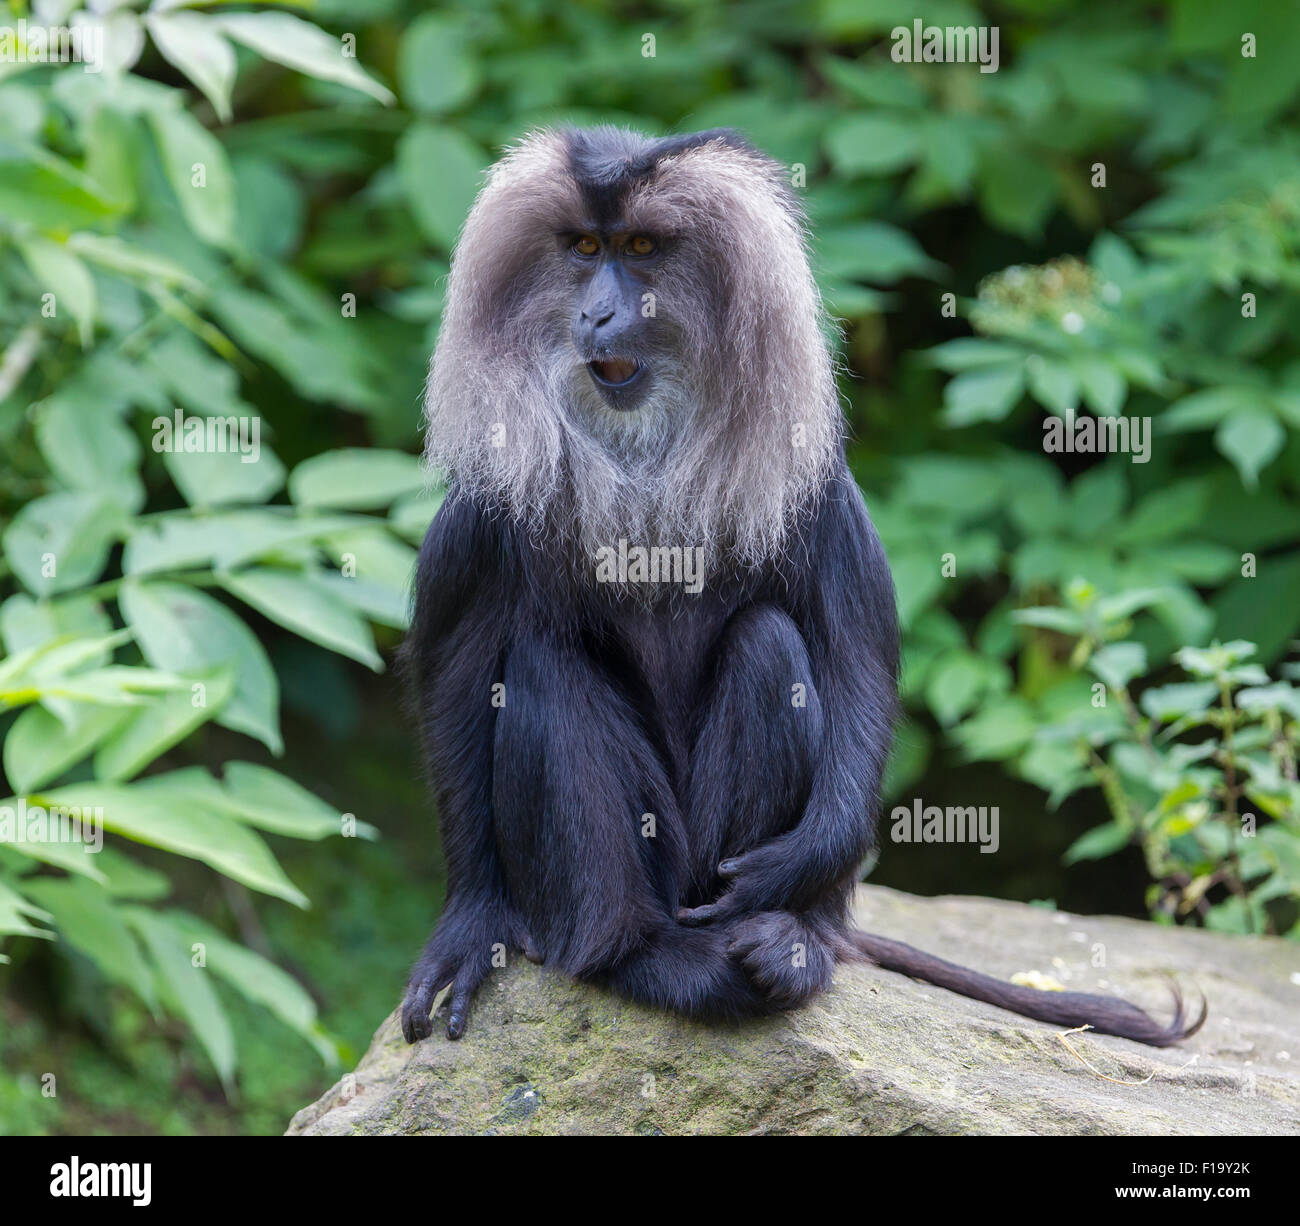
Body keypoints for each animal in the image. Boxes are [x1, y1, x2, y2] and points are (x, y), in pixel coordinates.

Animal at [398, 126, 1205, 1048]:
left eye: (640, 250)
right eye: (583, 250)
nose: (597, 315)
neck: (642, 453)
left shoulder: (813, 482)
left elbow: (855, 657)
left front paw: (800, 859)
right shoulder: (481, 515)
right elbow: (458, 678)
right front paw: (472, 924)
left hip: (710, 876)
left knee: (768, 646)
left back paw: (785, 943)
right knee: (544, 666)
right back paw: (648, 958)